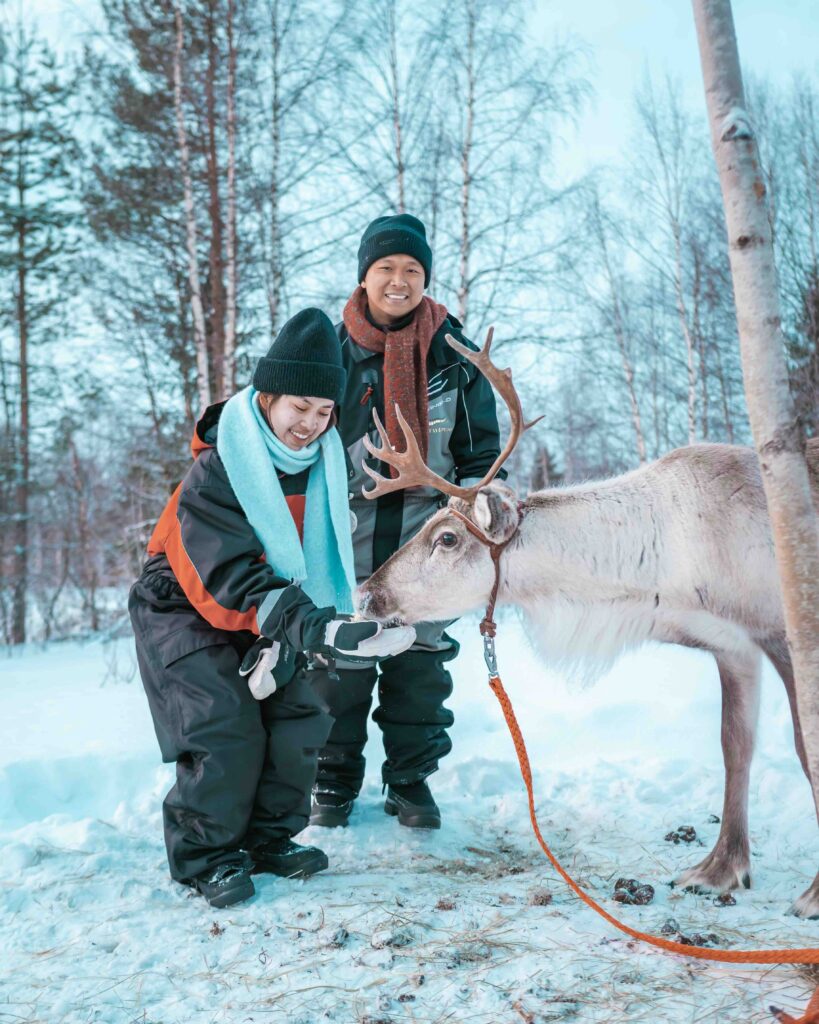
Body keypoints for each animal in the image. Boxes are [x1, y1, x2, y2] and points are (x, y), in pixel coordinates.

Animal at [355, 328, 819, 919]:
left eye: (448, 538)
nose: (366, 593)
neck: (658, 569)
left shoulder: (784, 631)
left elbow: (806, 747)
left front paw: (812, 895)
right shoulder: (731, 645)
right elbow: (734, 745)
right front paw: (719, 870)